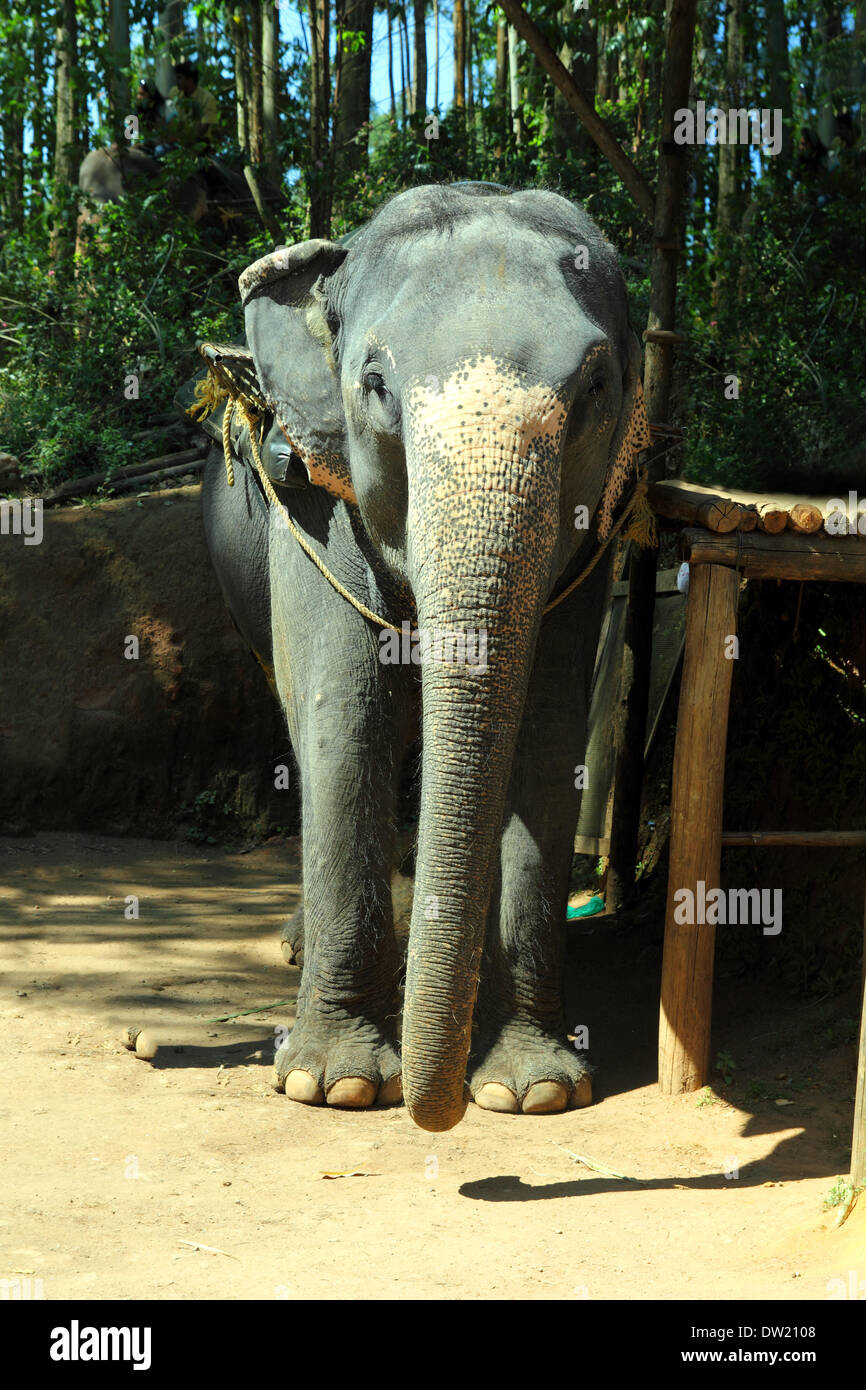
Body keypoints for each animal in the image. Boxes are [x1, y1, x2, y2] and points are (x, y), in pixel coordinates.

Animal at [199, 182, 650, 1133]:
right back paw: (305, 948)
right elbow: (344, 719)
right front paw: (334, 1085)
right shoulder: (317, 500)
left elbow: (549, 733)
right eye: (374, 385)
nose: (434, 1112)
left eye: (598, 385)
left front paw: (530, 1090)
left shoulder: (592, 536)